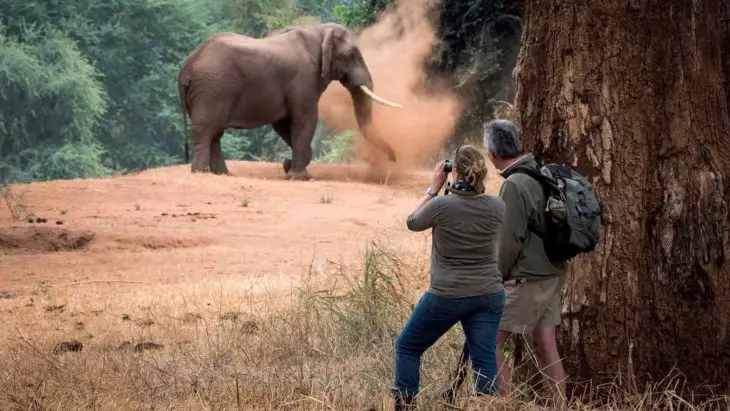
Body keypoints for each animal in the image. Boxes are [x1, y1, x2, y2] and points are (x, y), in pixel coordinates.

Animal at [178, 22, 400, 180]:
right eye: (352, 55)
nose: (393, 158)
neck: (319, 31)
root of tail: (186, 68)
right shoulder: (304, 78)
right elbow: (305, 119)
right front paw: (299, 175)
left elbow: (283, 123)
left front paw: (291, 167)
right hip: (212, 89)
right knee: (207, 129)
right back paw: (202, 173)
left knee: (215, 132)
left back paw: (222, 174)